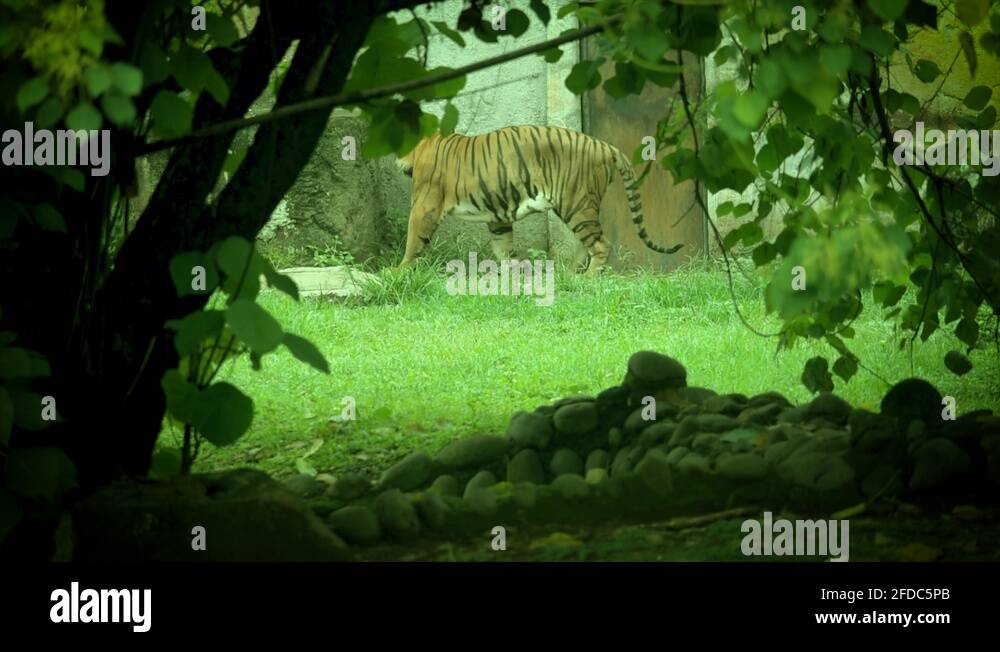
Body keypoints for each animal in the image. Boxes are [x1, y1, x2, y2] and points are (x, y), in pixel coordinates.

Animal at [396, 125, 683, 276]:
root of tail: (605, 146)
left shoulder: (425, 205)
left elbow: (413, 241)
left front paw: (398, 272)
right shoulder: (497, 217)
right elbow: (504, 249)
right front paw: (513, 276)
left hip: (577, 204)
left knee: (601, 244)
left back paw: (586, 279)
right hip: (576, 208)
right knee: (587, 245)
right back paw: (570, 275)